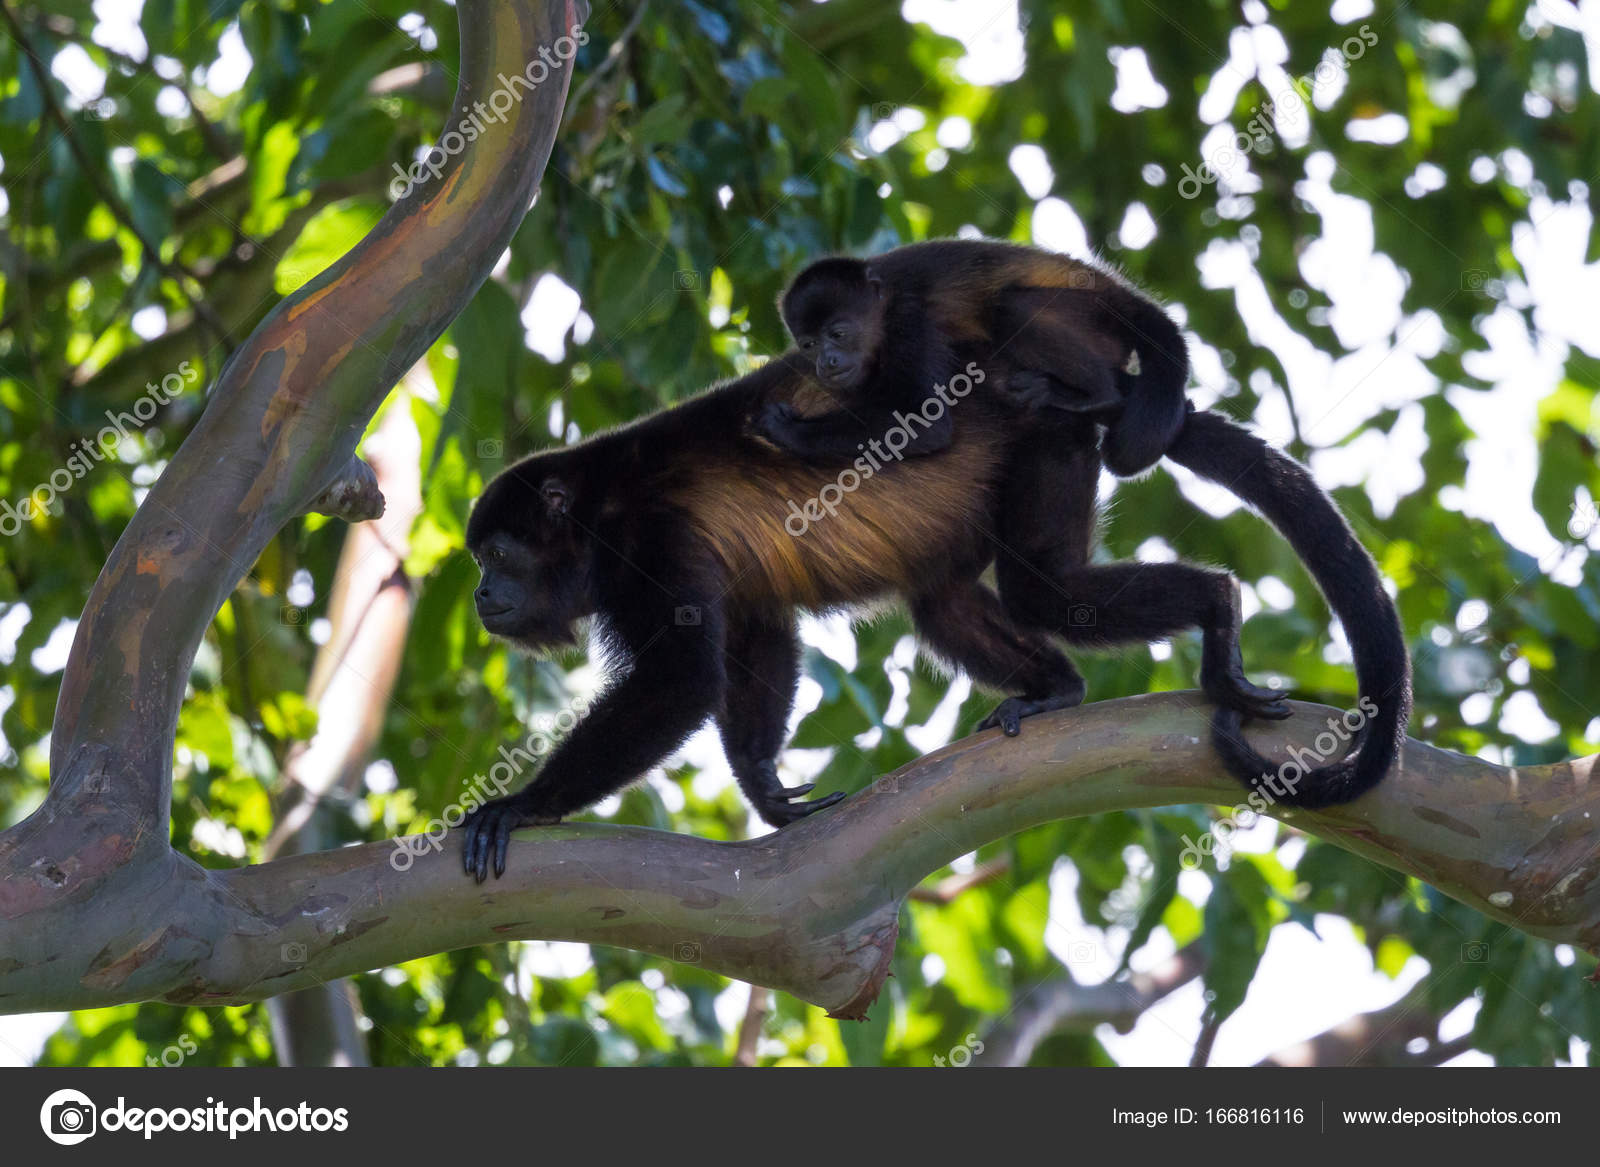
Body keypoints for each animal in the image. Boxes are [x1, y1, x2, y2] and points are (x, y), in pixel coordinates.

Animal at [458, 350, 1411, 881]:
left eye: (498, 554)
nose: (475, 594)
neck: (594, 510)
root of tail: (1056, 396)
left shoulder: (651, 539)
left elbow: (682, 676)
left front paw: (523, 805)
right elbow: (760, 627)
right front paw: (766, 786)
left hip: (1047, 450)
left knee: (1046, 586)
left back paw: (1217, 611)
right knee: (944, 603)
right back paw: (1057, 687)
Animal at [755, 239, 1191, 478]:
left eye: (838, 334)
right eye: (808, 344)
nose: (826, 362)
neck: (882, 301)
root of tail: (1122, 295)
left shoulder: (909, 321)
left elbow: (925, 426)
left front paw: (787, 431)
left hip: (1093, 313)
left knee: (1010, 307)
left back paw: (1095, 396)